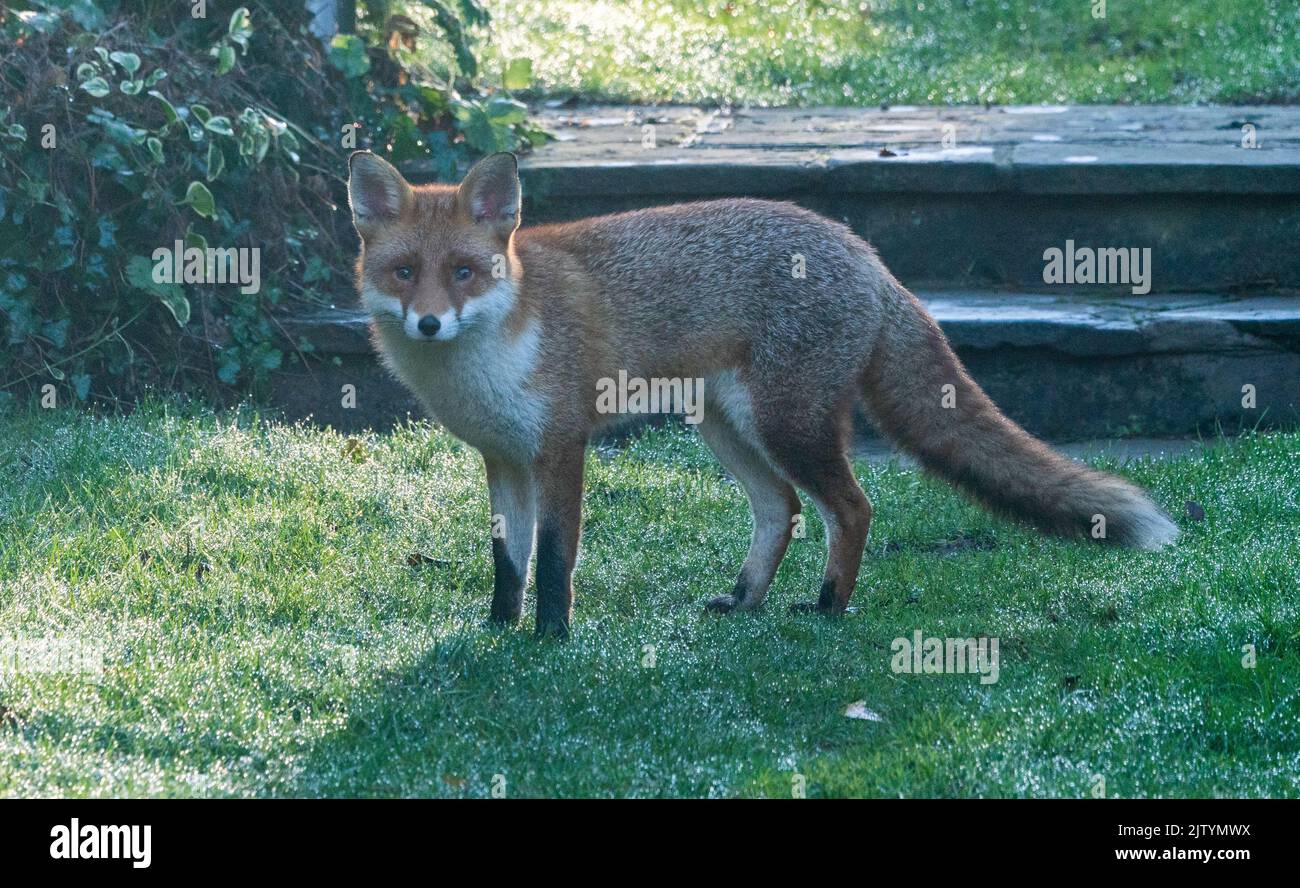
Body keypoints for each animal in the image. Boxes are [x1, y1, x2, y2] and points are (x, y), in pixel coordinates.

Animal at [347, 150, 1179, 638]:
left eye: (463, 272)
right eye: (403, 273)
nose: (427, 323)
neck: (489, 354)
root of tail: (867, 254)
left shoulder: (559, 448)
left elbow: (553, 559)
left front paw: (550, 639)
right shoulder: (501, 458)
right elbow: (507, 560)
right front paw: (496, 632)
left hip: (786, 425)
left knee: (851, 508)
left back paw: (830, 606)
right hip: (726, 425)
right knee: (781, 509)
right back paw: (746, 598)